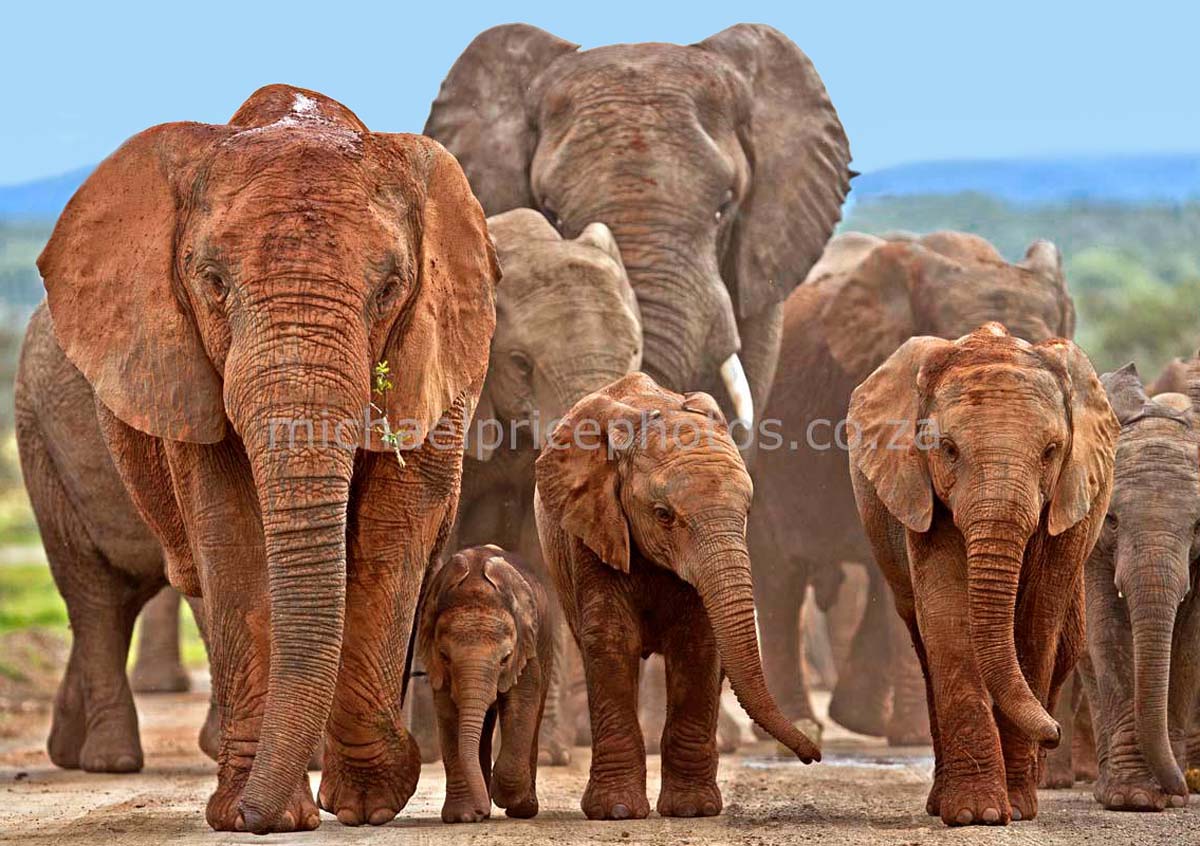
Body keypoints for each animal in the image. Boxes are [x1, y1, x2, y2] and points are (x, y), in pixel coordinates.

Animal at [29, 84, 499, 833]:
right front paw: (256, 813)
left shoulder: (442, 350)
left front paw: (367, 802)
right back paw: (117, 763)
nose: (253, 814)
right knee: (101, 594)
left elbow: (392, 533)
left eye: (390, 289)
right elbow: (233, 537)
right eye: (213, 282)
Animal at [417, 545, 551, 823]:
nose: (481, 810)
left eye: (505, 658)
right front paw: (462, 817)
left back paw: (522, 810)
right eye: (445, 656)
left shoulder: (527, 645)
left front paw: (503, 796)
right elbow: (448, 713)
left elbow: (522, 703)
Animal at [534, 372, 819, 821]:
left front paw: (693, 810)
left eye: (747, 512)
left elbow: (699, 644)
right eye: (663, 515)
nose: (814, 754)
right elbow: (611, 640)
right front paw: (616, 812)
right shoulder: (592, 526)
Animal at [848, 323, 1118, 826]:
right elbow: (949, 617)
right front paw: (978, 814)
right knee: (924, 644)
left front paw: (1015, 808)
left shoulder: (1071, 498)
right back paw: (942, 802)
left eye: (1052, 451)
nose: (1053, 732)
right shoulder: (921, 489)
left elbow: (1035, 622)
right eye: (948, 449)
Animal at [1077, 364, 1200, 811]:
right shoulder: (1092, 538)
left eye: (1198, 526)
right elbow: (1107, 634)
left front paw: (1172, 799)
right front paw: (1135, 799)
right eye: (1112, 520)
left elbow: (1189, 646)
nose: (1183, 787)